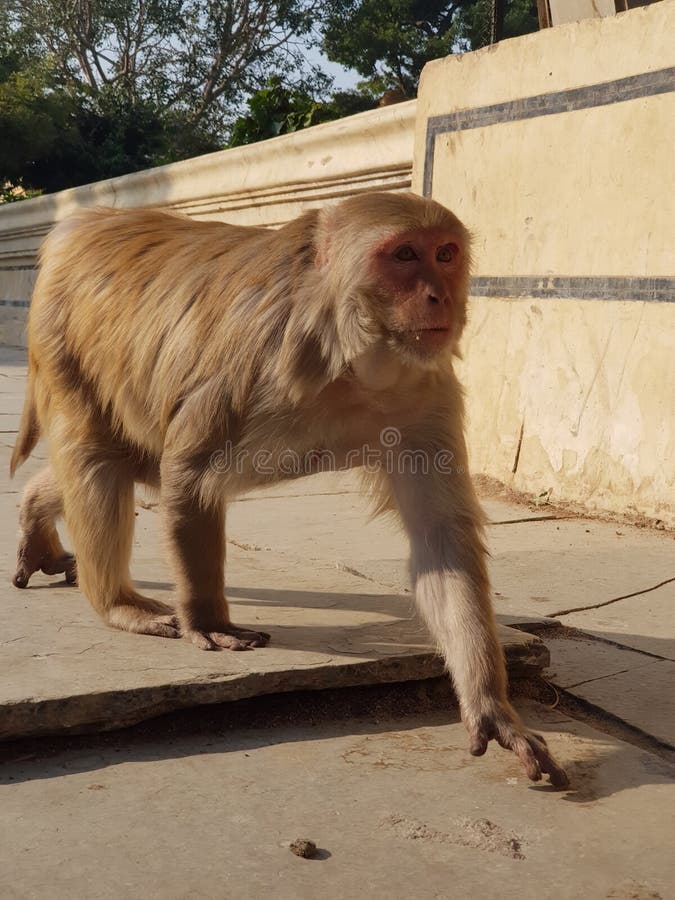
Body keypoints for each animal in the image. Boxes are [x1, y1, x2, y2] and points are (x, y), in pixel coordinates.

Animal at [10, 192, 568, 788]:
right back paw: (117, 603)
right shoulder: (251, 363)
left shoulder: (427, 395)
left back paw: (35, 519)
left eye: (445, 254)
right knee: (101, 462)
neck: (352, 354)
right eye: (403, 255)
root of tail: (85, 225)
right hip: (64, 342)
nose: (440, 294)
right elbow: (188, 471)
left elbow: (440, 540)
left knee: (126, 461)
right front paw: (207, 620)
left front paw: (492, 708)